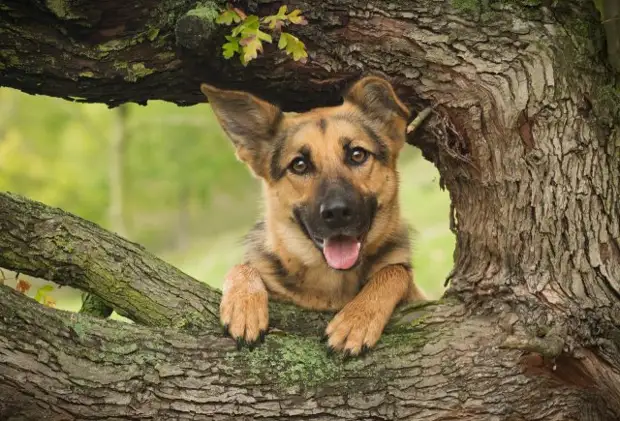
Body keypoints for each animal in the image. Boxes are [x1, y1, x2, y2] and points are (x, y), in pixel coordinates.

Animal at [201, 75, 424, 354]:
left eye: (357, 154)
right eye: (299, 164)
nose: (337, 213)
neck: (331, 282)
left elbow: (395, 271)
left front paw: (357, 319)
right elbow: (243, 265)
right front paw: (244, 305)